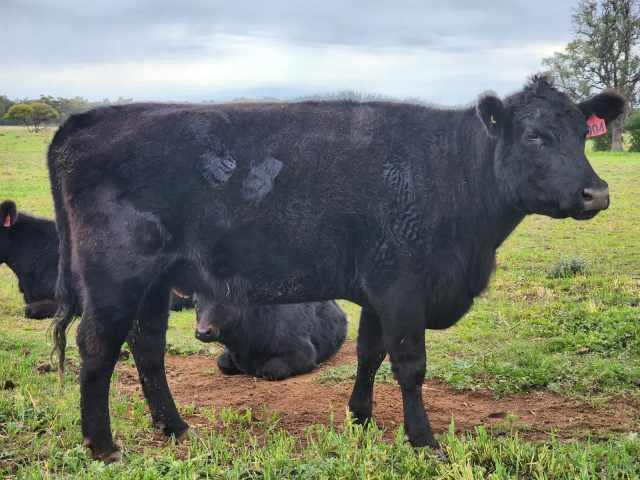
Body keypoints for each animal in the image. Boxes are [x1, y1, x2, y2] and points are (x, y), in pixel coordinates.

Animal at [194, 297, 347, 380]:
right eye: (196, 303)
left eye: (223, 302)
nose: (202, 332)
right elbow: (222, 362)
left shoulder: (305, 354)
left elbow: (272, 369)